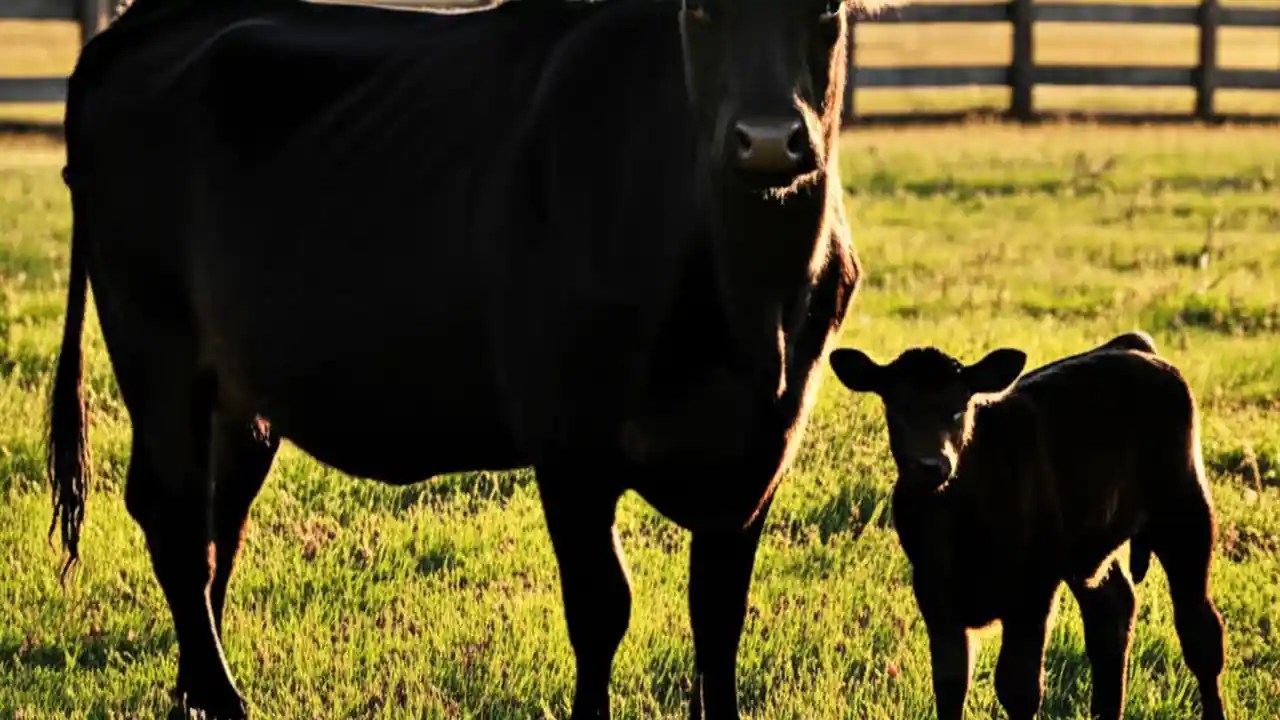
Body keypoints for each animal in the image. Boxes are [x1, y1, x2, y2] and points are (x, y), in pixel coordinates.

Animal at [47, 0, 872, 717]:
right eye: (699, 11)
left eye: (826, 11)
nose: (767, 140)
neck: (745, 308)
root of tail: (144, 22)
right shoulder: (569, 444)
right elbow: (601, 608)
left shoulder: (760, 448)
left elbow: (720, 616)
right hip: (155, 346)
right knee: (174, 514)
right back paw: (221, 697)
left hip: (237, 389)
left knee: (221, 517)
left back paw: (193, 692)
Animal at [827, 335, 1226, 720]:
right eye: (899, 409)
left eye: (959, 408)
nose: (933, 464)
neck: (957, 524)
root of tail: (1134, 347)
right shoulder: (933, 590)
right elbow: (950, 683)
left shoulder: (1032, 589)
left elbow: (1018, 688)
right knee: (1112, 613)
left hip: (1185, 511)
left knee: (1200, 631)